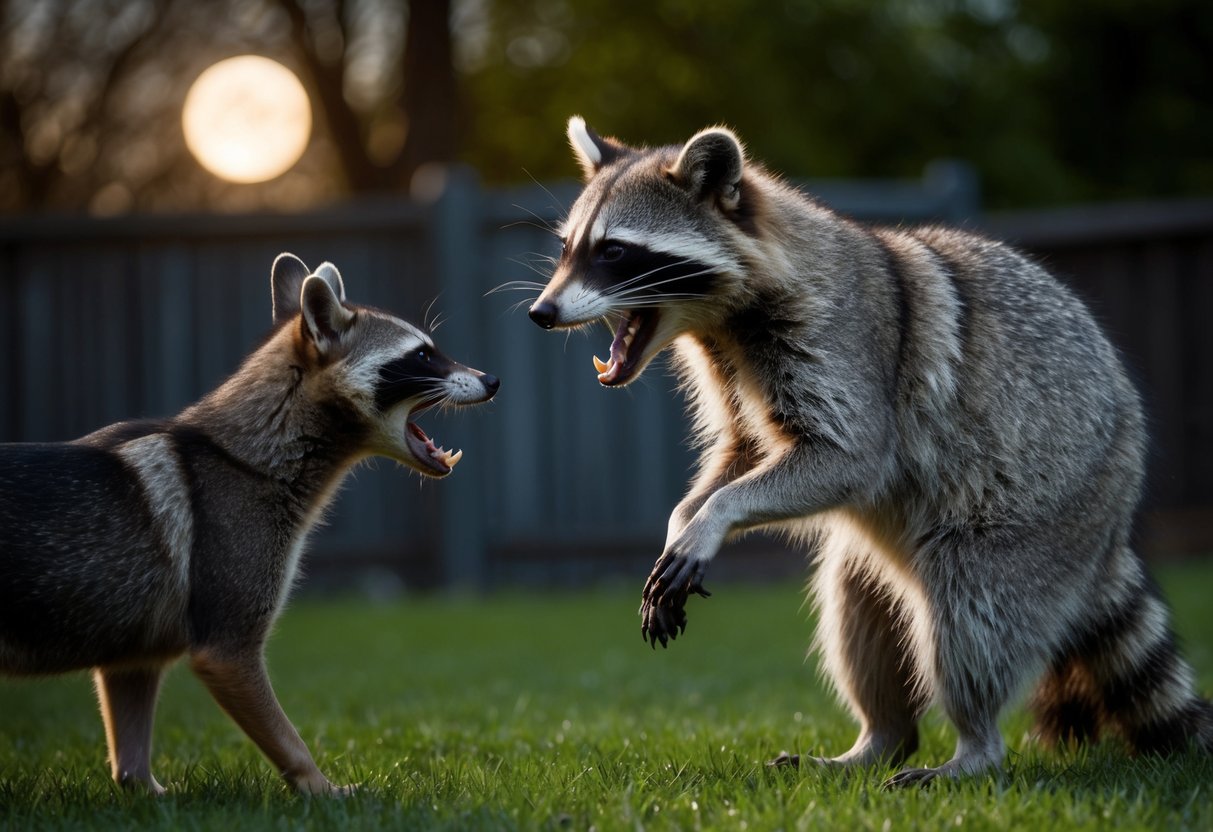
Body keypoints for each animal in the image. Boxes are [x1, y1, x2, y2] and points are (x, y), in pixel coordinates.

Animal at [0, 253, 499, 794]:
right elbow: (280, 729)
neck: (250, 449)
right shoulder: (228, 625)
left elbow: (129, 749)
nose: (493, 380)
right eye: (423, 355)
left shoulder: (134, 647)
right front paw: (316, 785)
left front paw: (143, 788)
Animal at [527, 117, 1213, 785]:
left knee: (971, 613)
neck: (718, 321)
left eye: (614, 251)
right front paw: (684, 515)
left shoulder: (842, 340)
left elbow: (851, 457)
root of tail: (1115, 525)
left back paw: (974, 746)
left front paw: (713, 516)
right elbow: (742, 450)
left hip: (1051, 504)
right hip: (881, 554)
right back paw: (879, 739)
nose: (541, 312)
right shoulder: (734, 375)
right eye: (566, 249)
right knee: (857, 614)